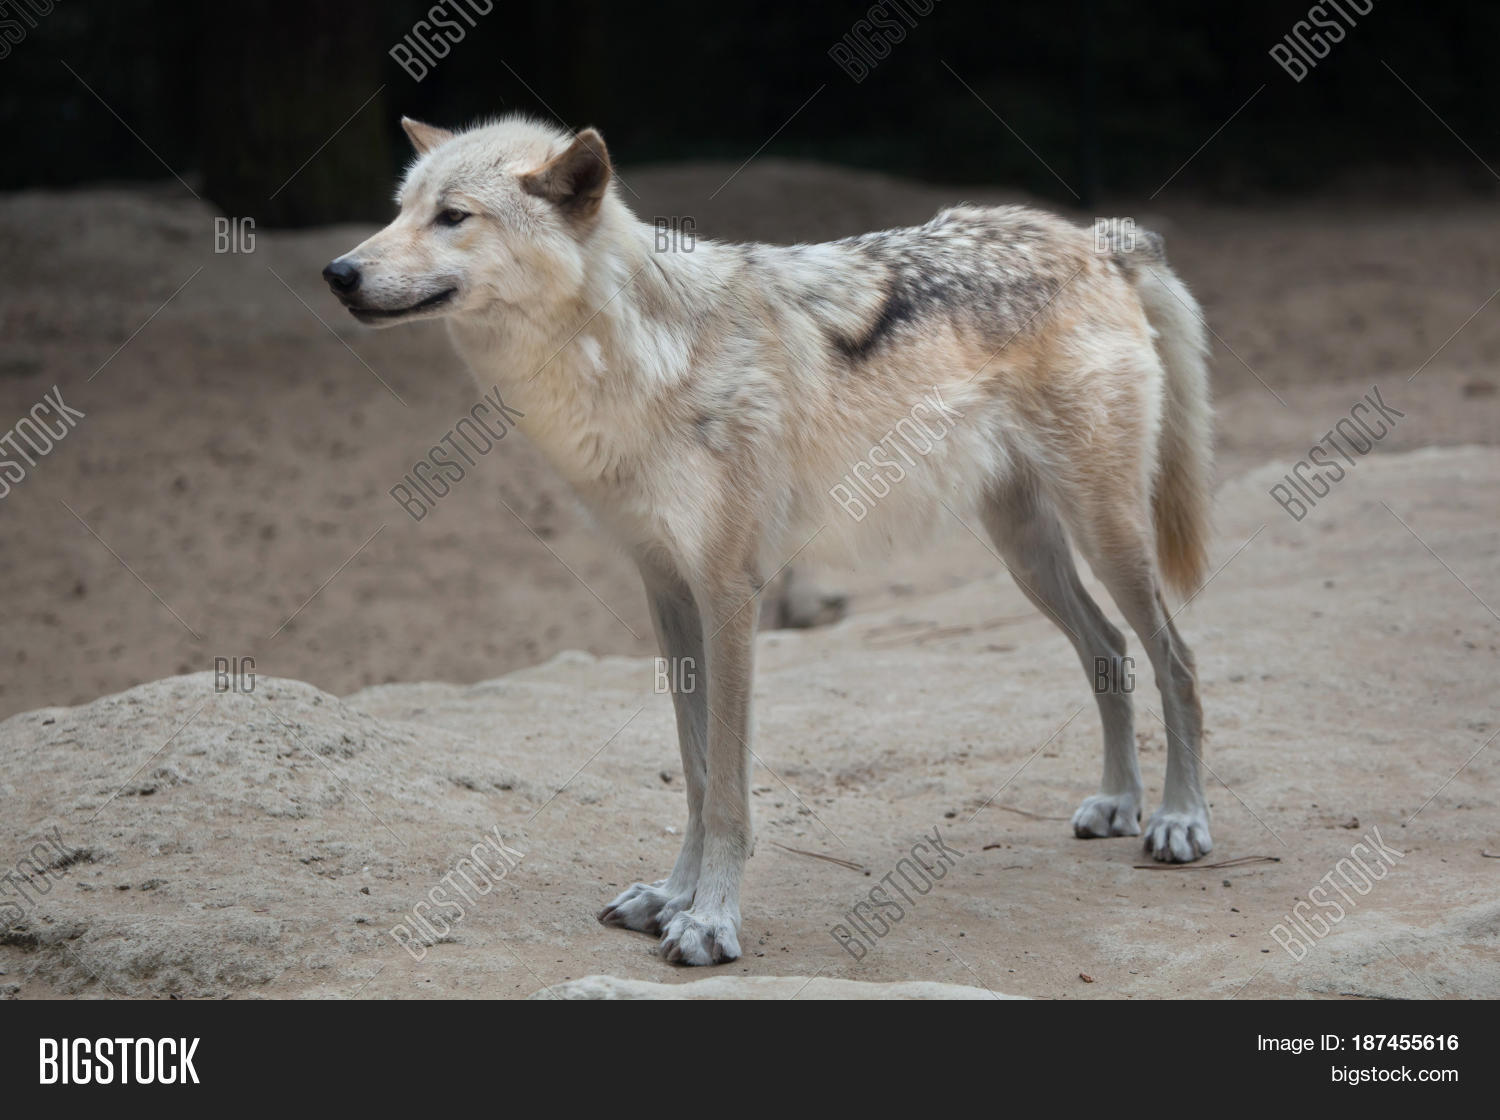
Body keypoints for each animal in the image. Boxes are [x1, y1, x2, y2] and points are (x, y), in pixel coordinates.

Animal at [326, 114, 1216, 966]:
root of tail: (1096, 238)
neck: (641, 362)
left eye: (452, 217)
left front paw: (709, 922)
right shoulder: (667, 589)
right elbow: (694, 774)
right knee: (1109, 649)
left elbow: (726, 790)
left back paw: (1178, 819)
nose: (338, 273)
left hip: (1106, 536)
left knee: (1176, 656)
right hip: (1028, 553)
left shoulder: (730, 592)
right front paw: (671, 898)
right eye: (399, 209)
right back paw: (1120, 802)